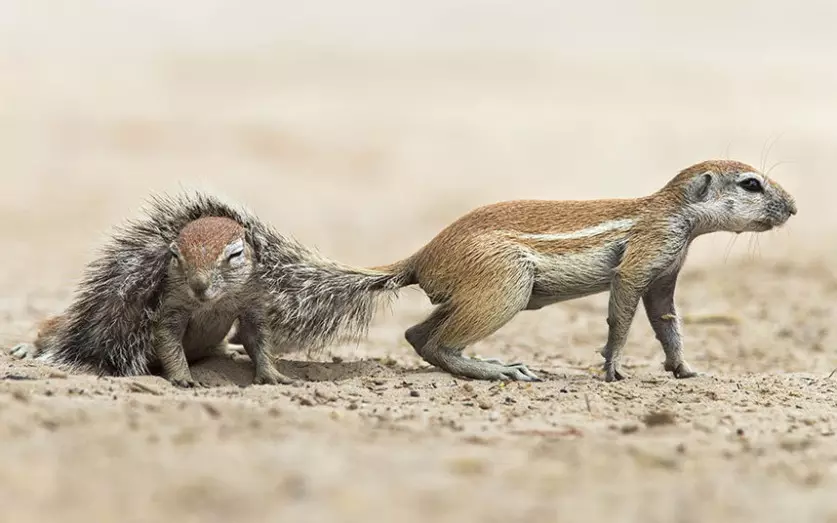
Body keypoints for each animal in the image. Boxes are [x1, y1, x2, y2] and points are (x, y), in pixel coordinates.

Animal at [10, 191, 404, 384]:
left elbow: (257, 341)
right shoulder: (169, 309)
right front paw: (183, 377)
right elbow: (168, 342)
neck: (213, 302)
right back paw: (26, 348)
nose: (199, 285)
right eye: (174, 254)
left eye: (235, 254)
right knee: (51, 328)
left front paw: (272, 374)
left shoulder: (253, 304)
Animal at [262, 158, 796, 382]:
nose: (793, 208)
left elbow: (667, 322)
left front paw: (684, 369)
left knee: (417, 335)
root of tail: (422, 256)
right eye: (751, 184)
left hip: (475, 293)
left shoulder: (665, 273)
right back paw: (499, 370)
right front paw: (613, 367)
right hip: (504, 285)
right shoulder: (645, 255)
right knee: (437, 341)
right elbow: (621, 313)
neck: (674, 213)